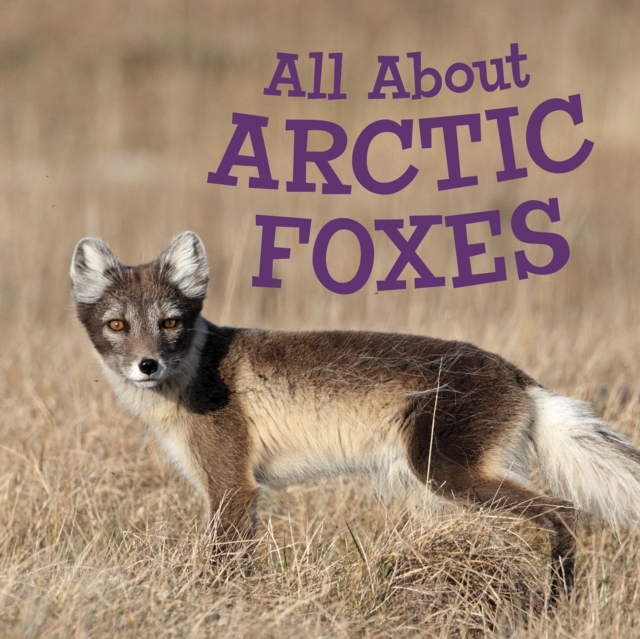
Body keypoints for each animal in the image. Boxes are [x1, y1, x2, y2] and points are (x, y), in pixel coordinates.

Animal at [70, 231, 640, 597]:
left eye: (170, 323)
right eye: (118, 325)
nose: (147, 365)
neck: (194, 372)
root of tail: (516, 373)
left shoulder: (233, 487)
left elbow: (222, 567)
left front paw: (213, 604)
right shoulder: (236, 492)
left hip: (445, 472)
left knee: (564, 509)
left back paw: (558, 600)